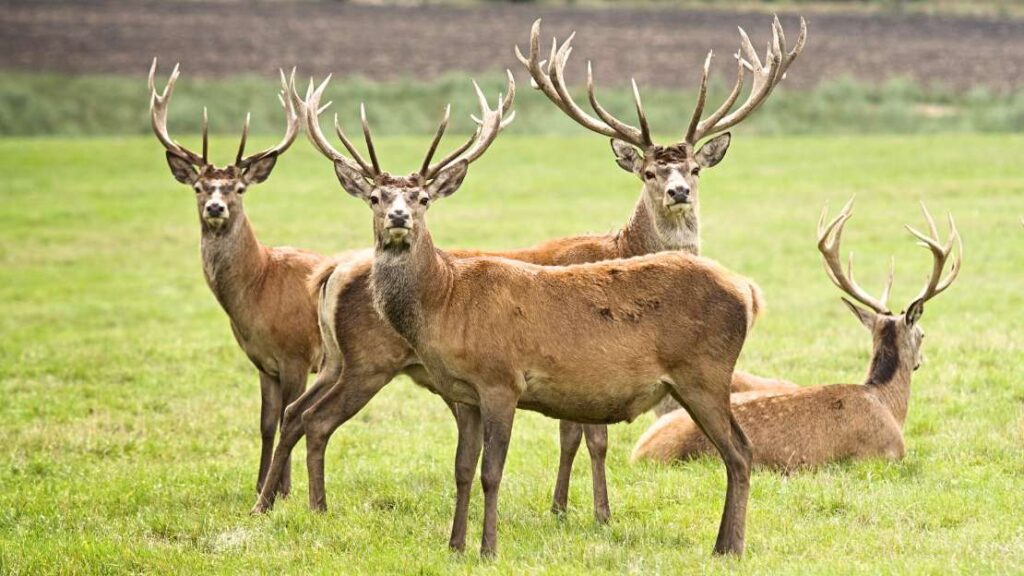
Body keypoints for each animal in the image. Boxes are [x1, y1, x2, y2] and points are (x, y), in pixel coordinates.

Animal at [148, 60, 364, 497]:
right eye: (199, 187)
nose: (215, 207)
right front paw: (260, 484)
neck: (258, 290)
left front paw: (282, 489)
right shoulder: (262, 363)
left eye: (238, 188)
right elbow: (265, 423)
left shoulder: (296, 355)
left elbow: (286, 419)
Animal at [249, 16, 804, 530]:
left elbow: (573, 434)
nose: (678, 192)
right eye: (649, 171)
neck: (622, 245)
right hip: (368, 360)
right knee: (314, 420)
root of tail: (331, 271)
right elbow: (588, 437)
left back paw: (273, 500)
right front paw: (591, 512)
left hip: (336, 359)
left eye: (695, 168)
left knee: (296, 414)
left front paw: (565, 508)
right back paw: (305, 505)